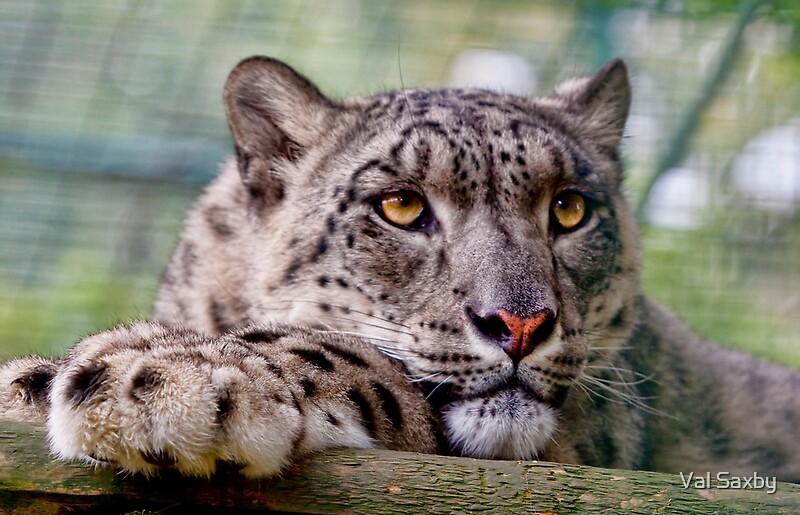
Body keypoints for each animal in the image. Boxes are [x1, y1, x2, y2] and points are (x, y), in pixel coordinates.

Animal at [2, 55, 799, 482]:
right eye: (402, 206)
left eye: (570, 208)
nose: (521, 323)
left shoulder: (599, 416)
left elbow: (365, 359)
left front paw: (158, 380)